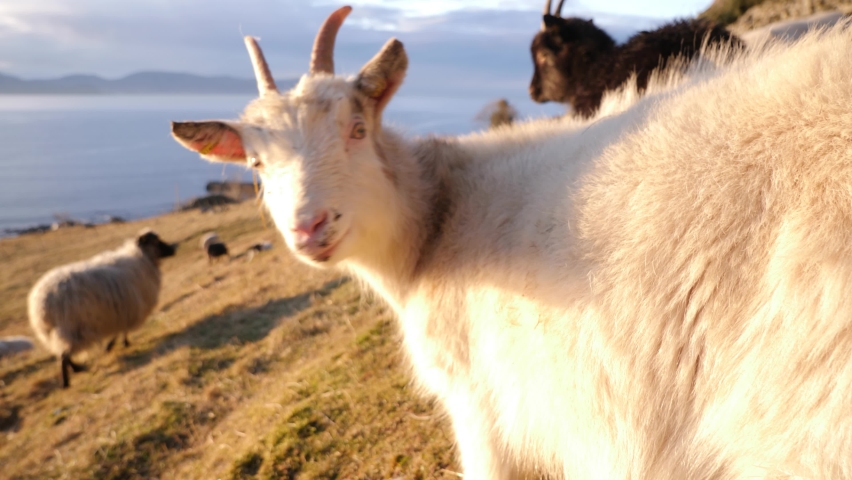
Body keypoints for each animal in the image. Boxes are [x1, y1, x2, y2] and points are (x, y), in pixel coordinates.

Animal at [28, 229, 176, 388]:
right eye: (156, 242)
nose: (173, 248)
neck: (142, 259)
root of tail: (41, 304)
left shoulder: (121, 311)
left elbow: (121, 330)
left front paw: (115, 344)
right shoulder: (127, 309)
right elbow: (122, 330)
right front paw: (117, 344)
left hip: (57, 331)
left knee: (62, 353)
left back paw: (77, 369)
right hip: (73, 328)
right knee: (63, 356)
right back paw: (67, 380)